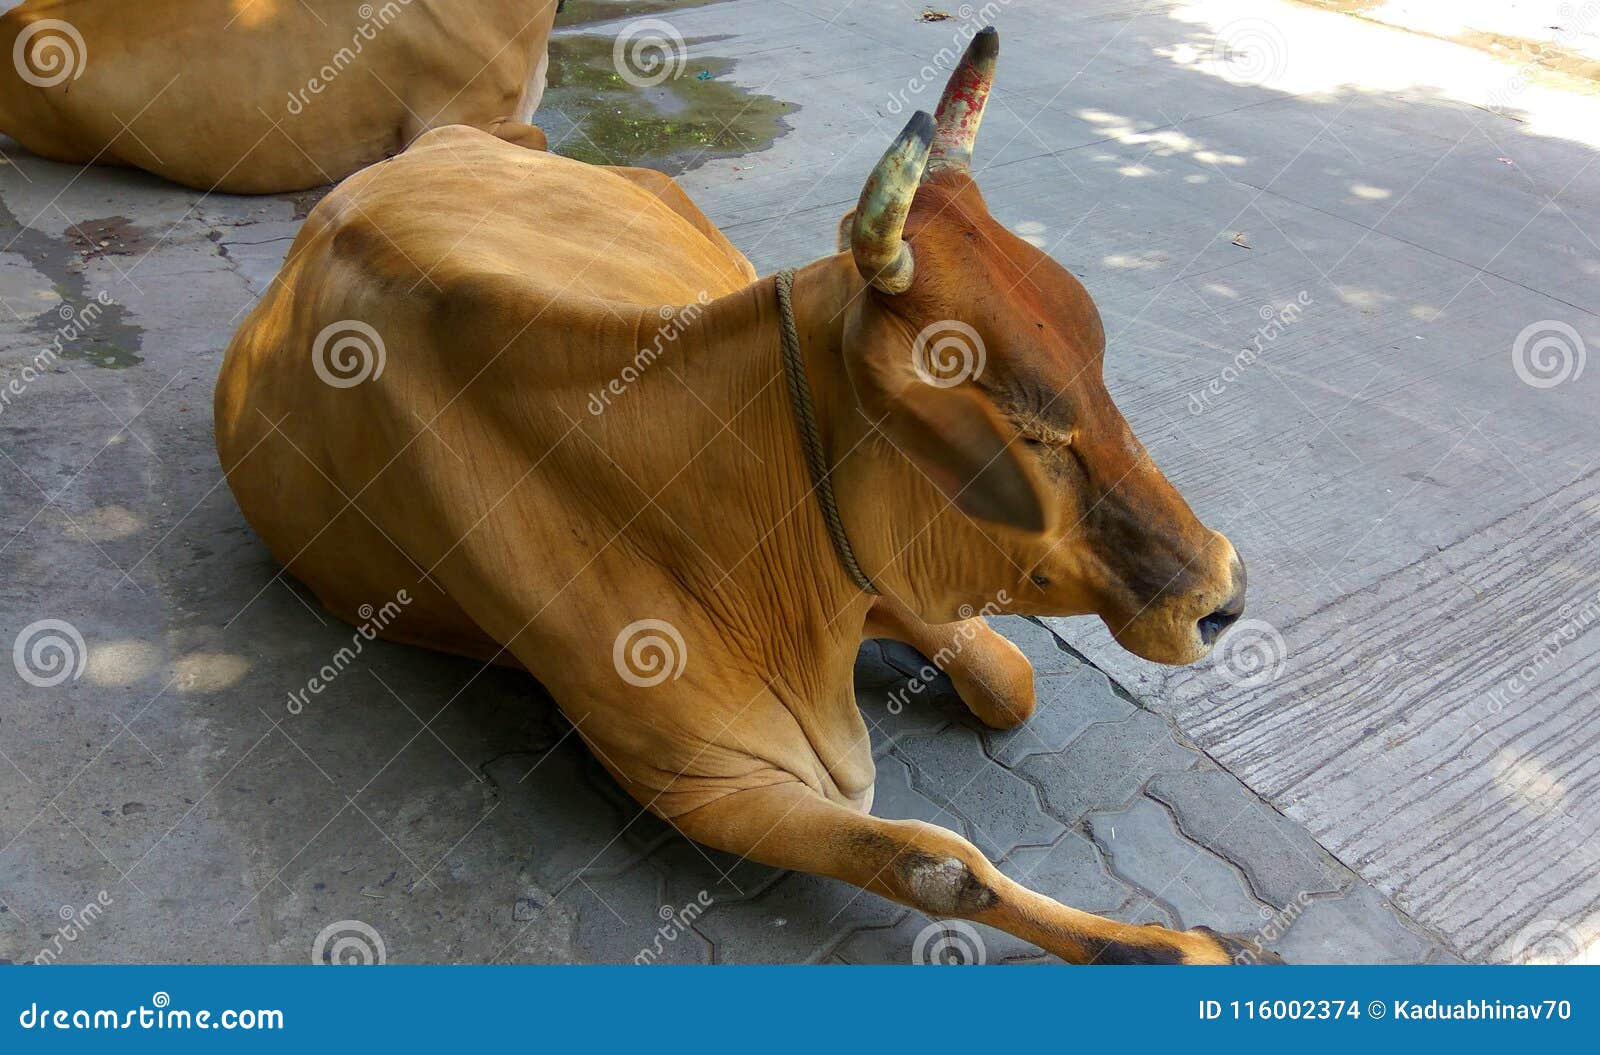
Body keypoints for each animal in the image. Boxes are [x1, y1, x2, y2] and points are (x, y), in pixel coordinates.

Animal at [215, 28, 1266, 964]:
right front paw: (1176, 946)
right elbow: (937, 864)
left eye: (1100, 359)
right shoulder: (710, 789)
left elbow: (1012, 680)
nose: (1223, 595)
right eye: (1028, 427)